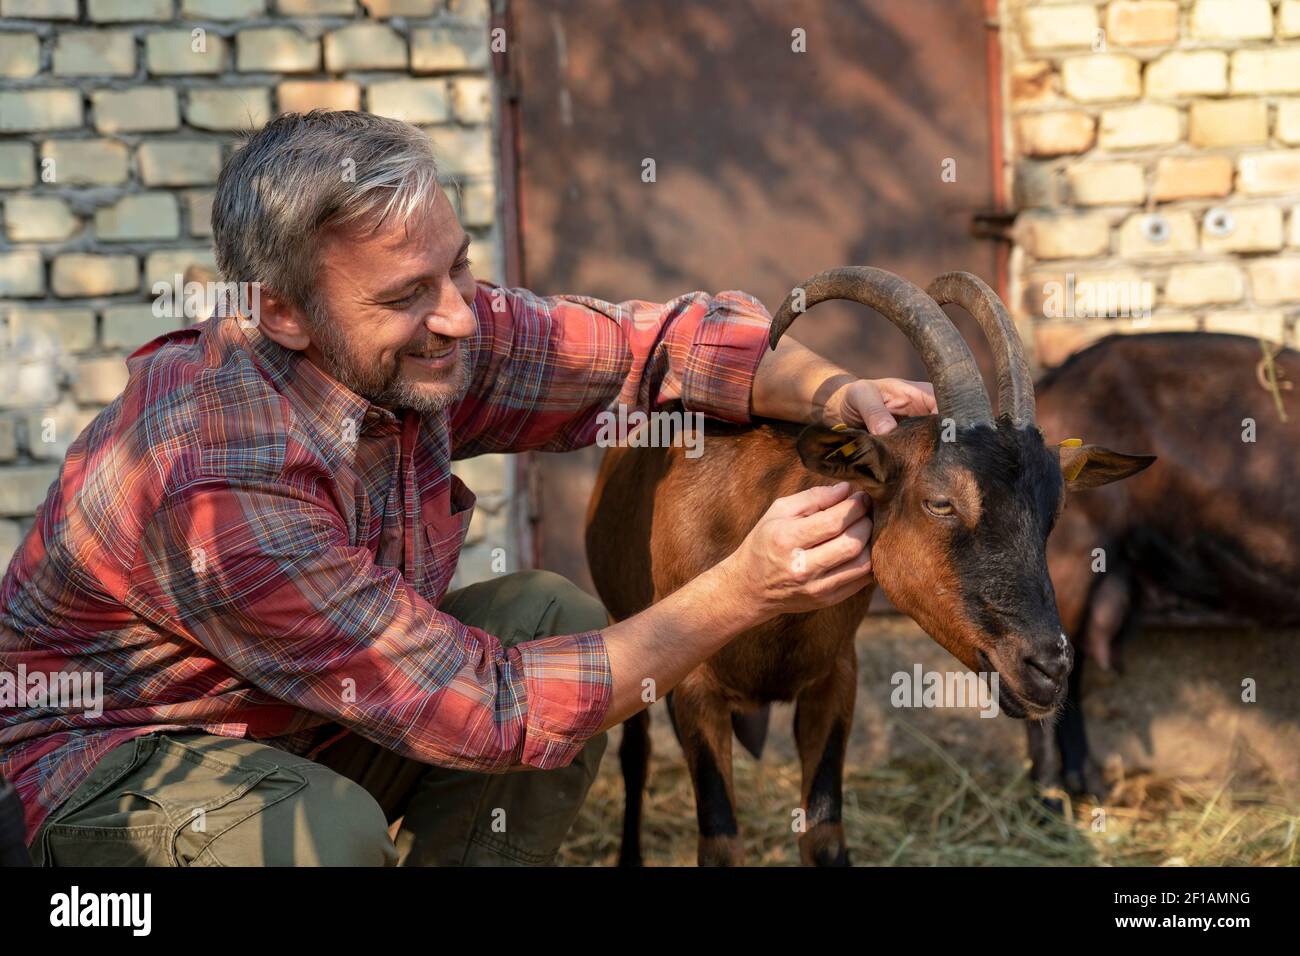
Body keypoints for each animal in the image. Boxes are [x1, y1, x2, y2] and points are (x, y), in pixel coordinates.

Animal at [585, 267, 1155, 866]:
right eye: (941, 502)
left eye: (1054, 511)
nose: (1049, 668)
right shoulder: (696, 689)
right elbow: (720, 843)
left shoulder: (836, 679)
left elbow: (824, 834)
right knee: (636, 751)